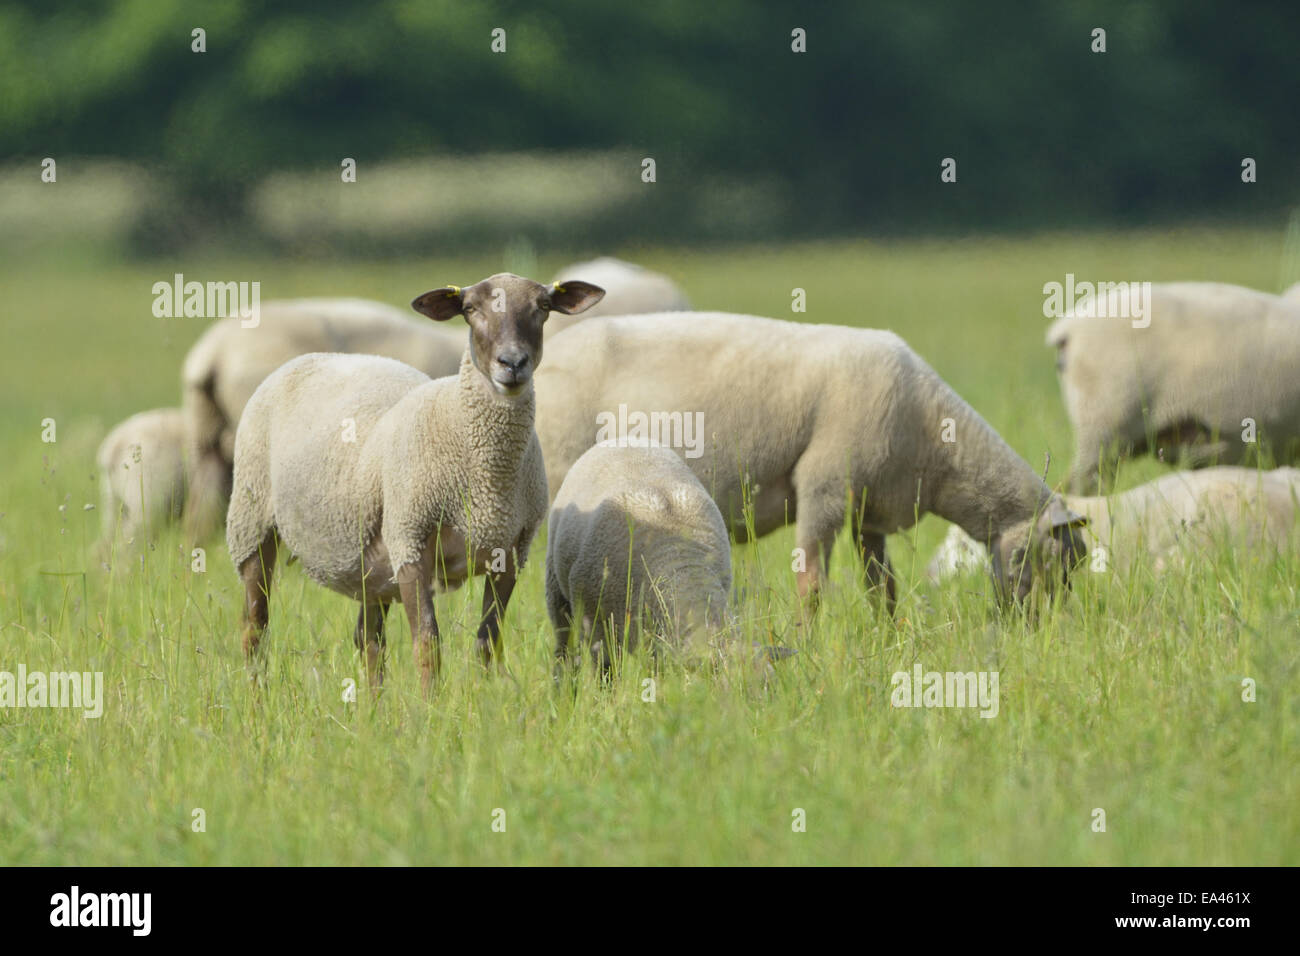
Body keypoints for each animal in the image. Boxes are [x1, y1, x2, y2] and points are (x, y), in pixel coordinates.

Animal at [226, 274, 604, 689]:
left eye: (543, 307)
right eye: (470, 309)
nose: (513, 363)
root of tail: (313, 357)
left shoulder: (510, 553)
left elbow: (487, 642)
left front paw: (483, 696)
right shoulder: (411, 541)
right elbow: (427, 644)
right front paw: (431, 704)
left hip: (369, 560)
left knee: (368, 640)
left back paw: (372, 704)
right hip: (252, 522)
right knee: (254, 628)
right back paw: (256, 696)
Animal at [534, 312, 1088, 610]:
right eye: (1058, 561)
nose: (1039, 631)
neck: (938, 443)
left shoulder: (870, 510)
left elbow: (882, 587)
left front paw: (887, 640)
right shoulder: (824, 488)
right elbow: (812, 585)